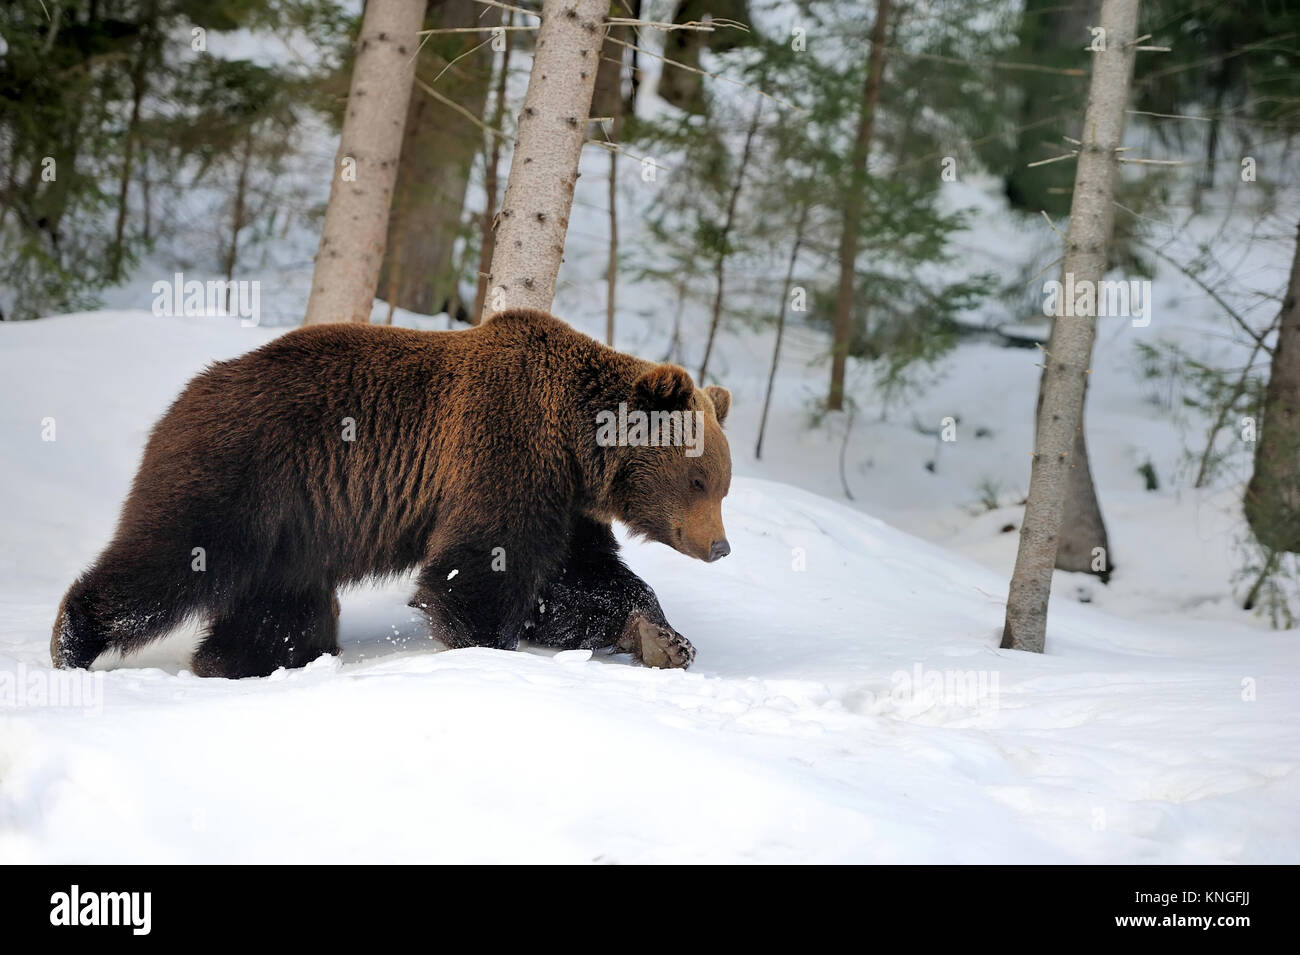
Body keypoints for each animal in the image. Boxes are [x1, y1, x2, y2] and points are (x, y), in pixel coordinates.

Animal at [50, 308, 732, 678]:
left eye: (723, 486)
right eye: (699, 480)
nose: (721, 547)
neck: (573, 441)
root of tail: (182, 399)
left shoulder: (564, 501)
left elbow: (583, 577)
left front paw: (663, 637)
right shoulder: (503, 451)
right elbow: (477, 569)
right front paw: (487, 646)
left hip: (295, 525)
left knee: (281, 606)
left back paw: (245, 659)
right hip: (237, 476)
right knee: (169, 559)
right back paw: (73, 639)